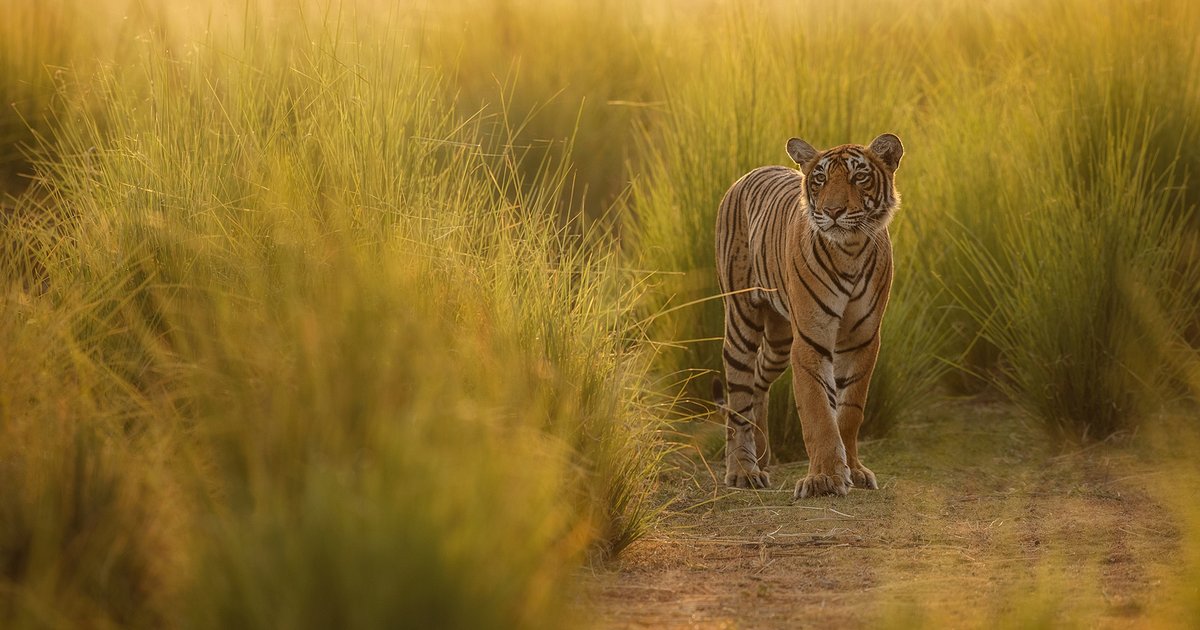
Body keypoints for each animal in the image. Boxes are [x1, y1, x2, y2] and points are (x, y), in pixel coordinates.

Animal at [712, 133, 904, 498]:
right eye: (820, 179)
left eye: (859, 176)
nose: (833, 211)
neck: (850, 250)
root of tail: (750, 173)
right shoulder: (811, 340)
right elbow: (817, 412)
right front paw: (824, 479)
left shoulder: (862, 340)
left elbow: (849, 412)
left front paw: (854, 471)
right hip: (742, 319)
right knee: (739, 395)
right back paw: (743, 470)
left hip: (779, 338)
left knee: (759, 380)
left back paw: (762, 454)